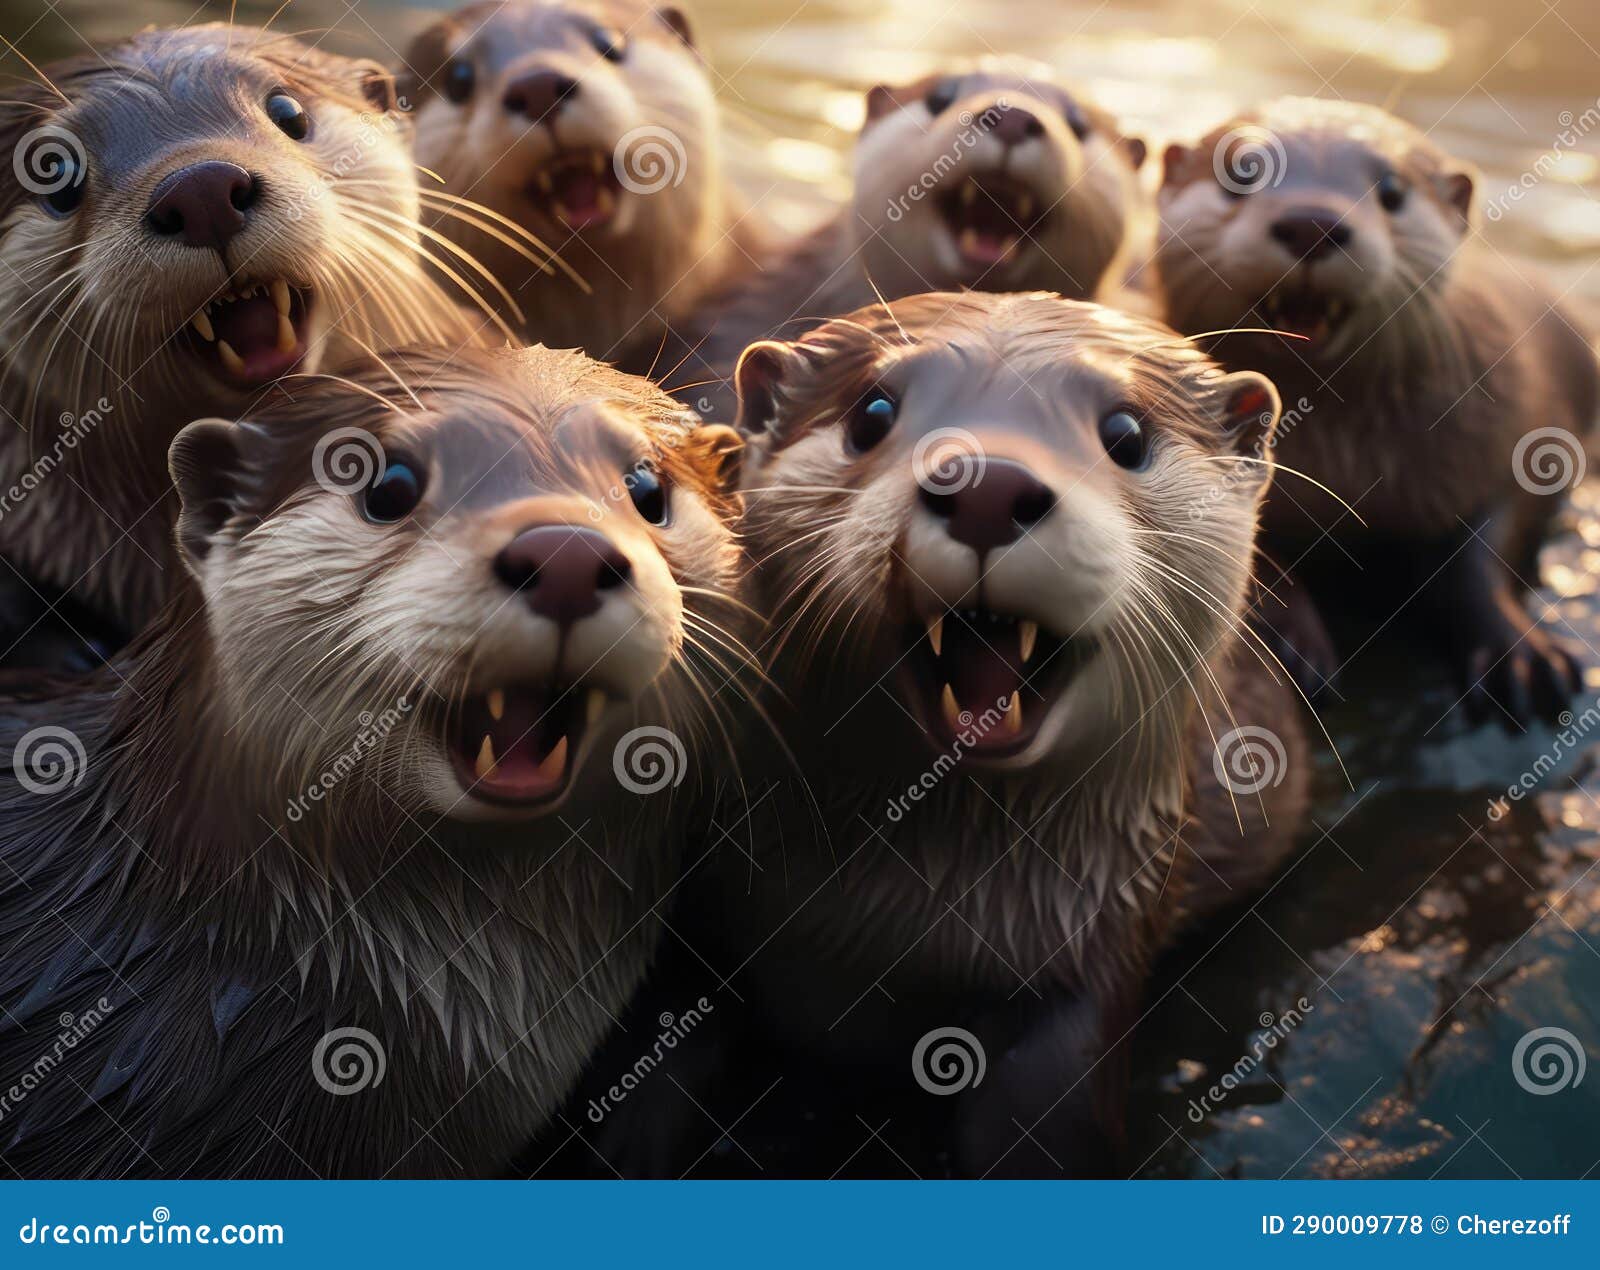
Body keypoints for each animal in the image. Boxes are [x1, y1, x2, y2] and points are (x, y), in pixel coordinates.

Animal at [563, 292, 1310, 1177]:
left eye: (1127, 434)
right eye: (873, 413)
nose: (987, 483)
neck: (898, 924)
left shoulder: (1098, 949)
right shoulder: (697, 916)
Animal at [1154, 98, 1599, 727]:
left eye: (1391, 190)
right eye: (1240, 171)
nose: (1311, 222)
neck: (1345, 468)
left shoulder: (1509, 433)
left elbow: (1489, 544)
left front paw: (1520, 653)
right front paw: (1290, 639)